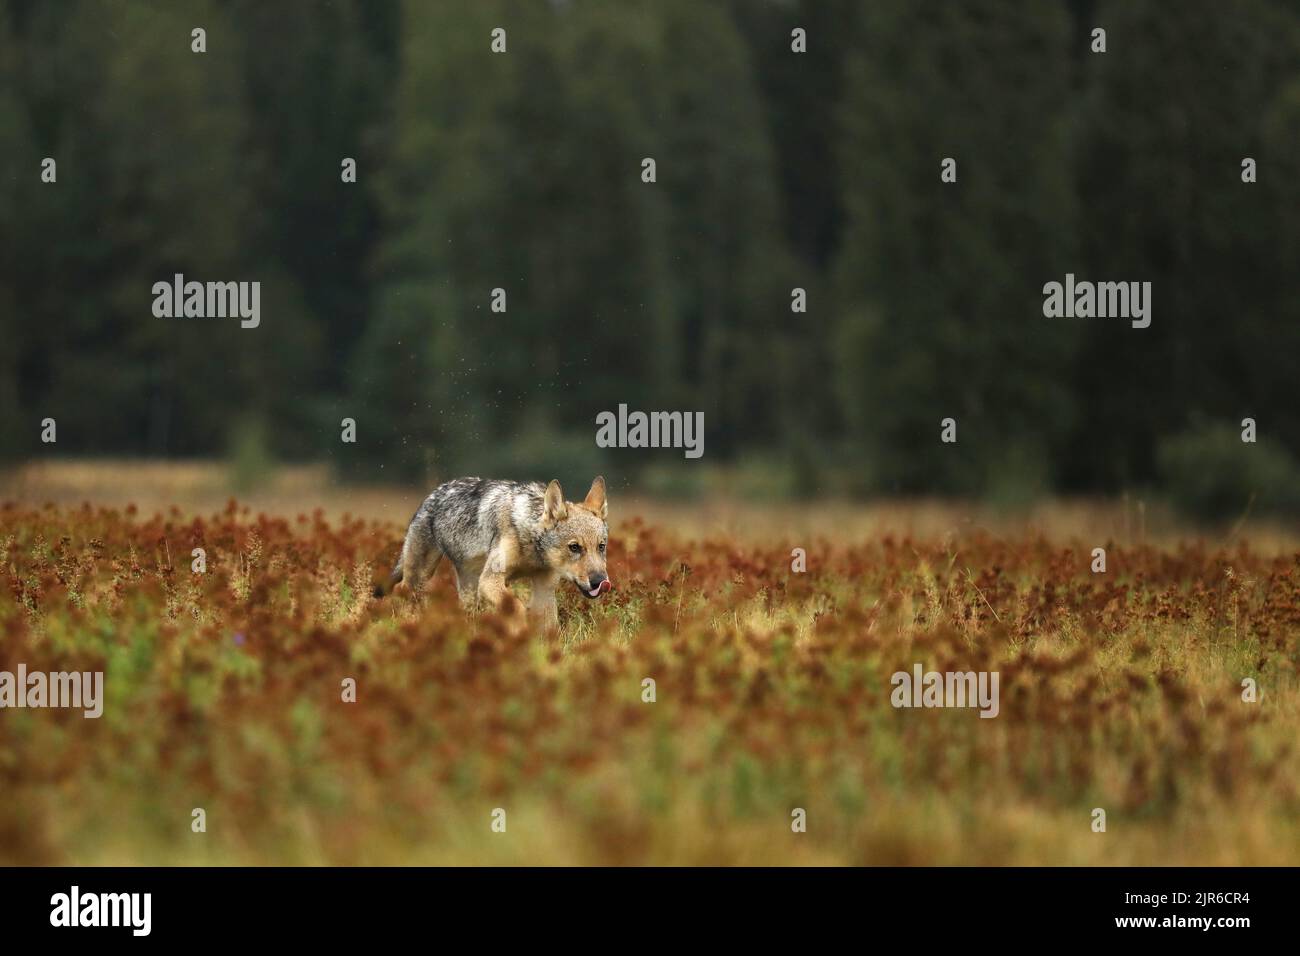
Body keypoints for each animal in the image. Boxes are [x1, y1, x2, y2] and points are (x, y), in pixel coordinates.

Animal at [373, 476, 611, 631]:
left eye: (601, 546)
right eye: (575, 547)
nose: (600, 581)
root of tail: (432, 494)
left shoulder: (544, 588)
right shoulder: (490, 580)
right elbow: (516, 607)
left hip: (469, 587)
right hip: (422, 576)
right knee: (401, 590)